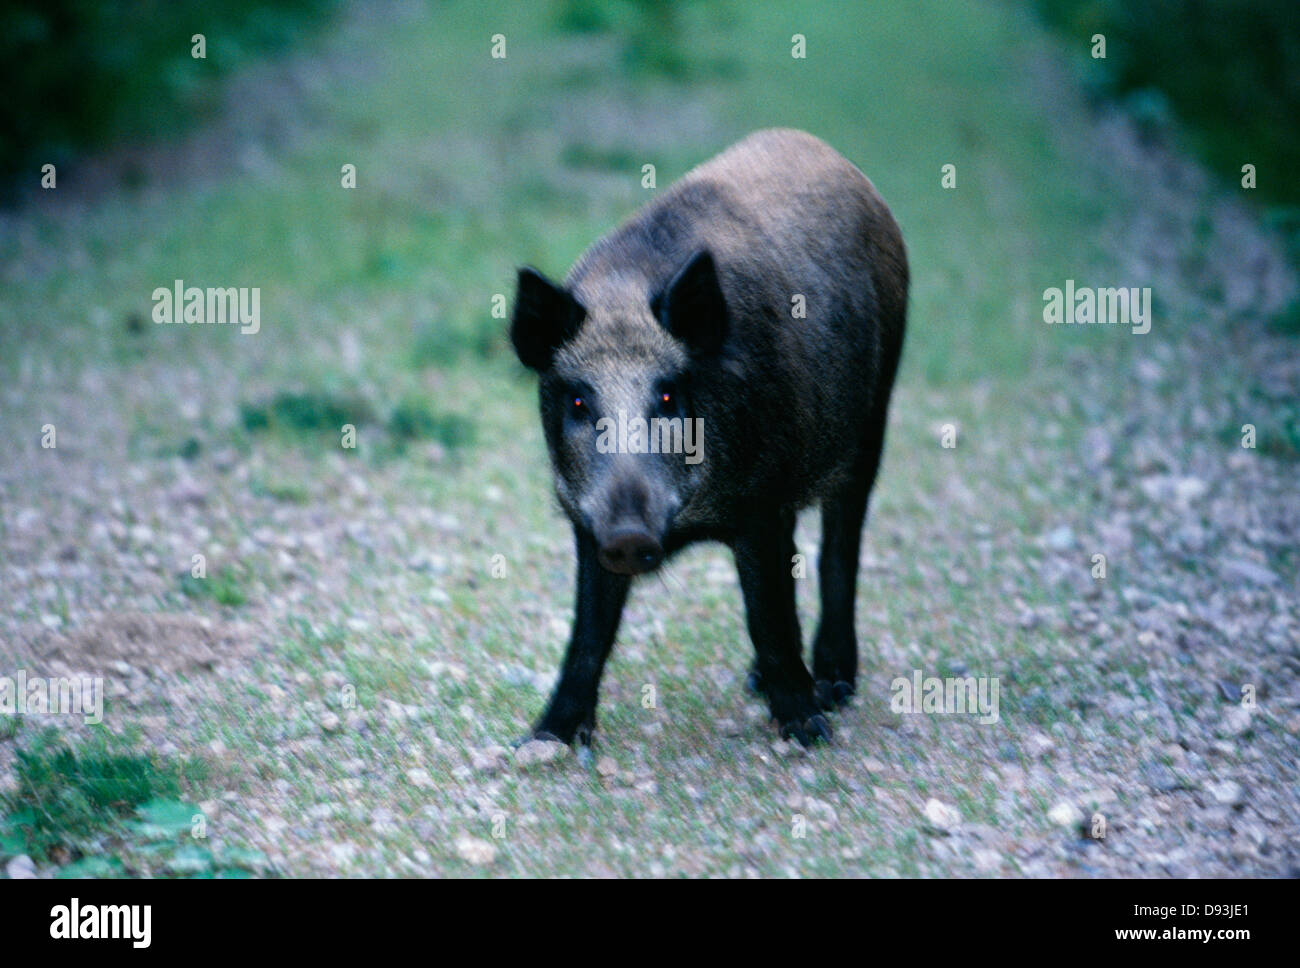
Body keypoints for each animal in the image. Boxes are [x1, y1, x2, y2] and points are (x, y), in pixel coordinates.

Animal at [510, 128, 908, 748]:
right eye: (578, 401)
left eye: (668, 398)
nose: (629, 535)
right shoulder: (586, 522)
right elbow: (589, 630)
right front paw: (542, 739)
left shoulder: (761, 506)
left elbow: (767, 613)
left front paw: (808, 731)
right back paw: (758, 682)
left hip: (873, 416)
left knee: (840, 551)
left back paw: (833, 688)